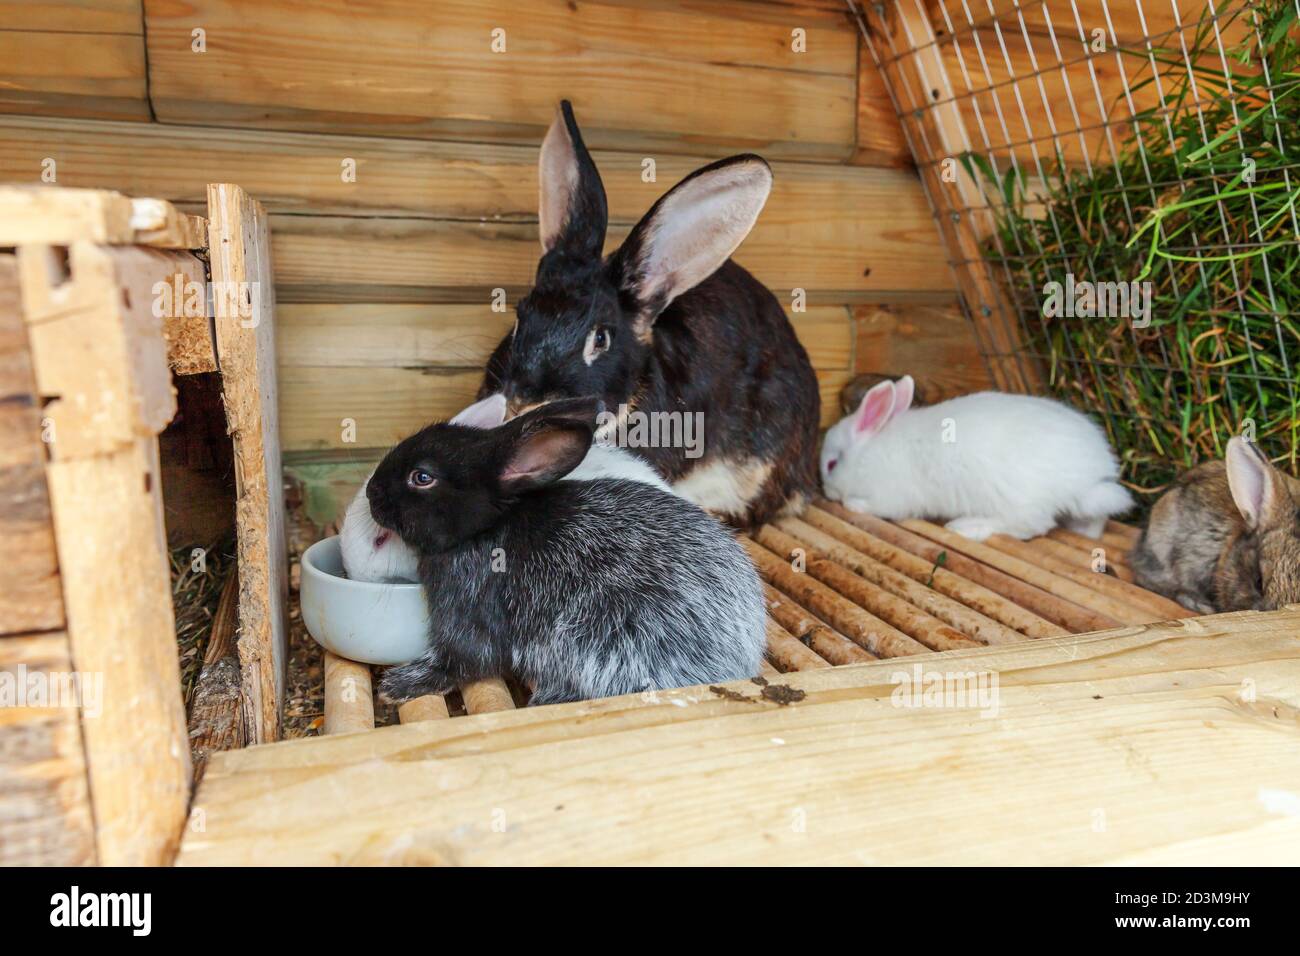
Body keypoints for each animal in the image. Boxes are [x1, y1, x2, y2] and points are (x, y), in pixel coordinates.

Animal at [820, 376, 1135, 541]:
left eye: (831, 465)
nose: (827, 492)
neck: (869, 452)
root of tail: (1087, 477)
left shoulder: (891, 497)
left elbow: (873, 506)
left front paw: (852, 503)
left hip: (1015, 500)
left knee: (1026, 525)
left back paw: (965, 526)